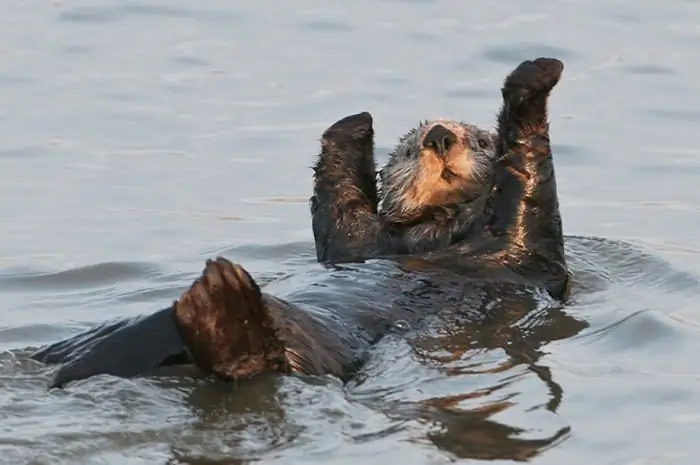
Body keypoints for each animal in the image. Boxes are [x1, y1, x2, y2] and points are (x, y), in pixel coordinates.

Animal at [31, 56, 568, 386]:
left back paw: (218, 298)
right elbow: (336, 207)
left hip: (308, 352)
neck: (427, 236)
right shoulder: (355, 240)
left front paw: (537, 76)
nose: (438, 136)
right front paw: (355, 123)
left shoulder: (526, 248)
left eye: (480, 140)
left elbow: (526, 181)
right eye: (407, 149)